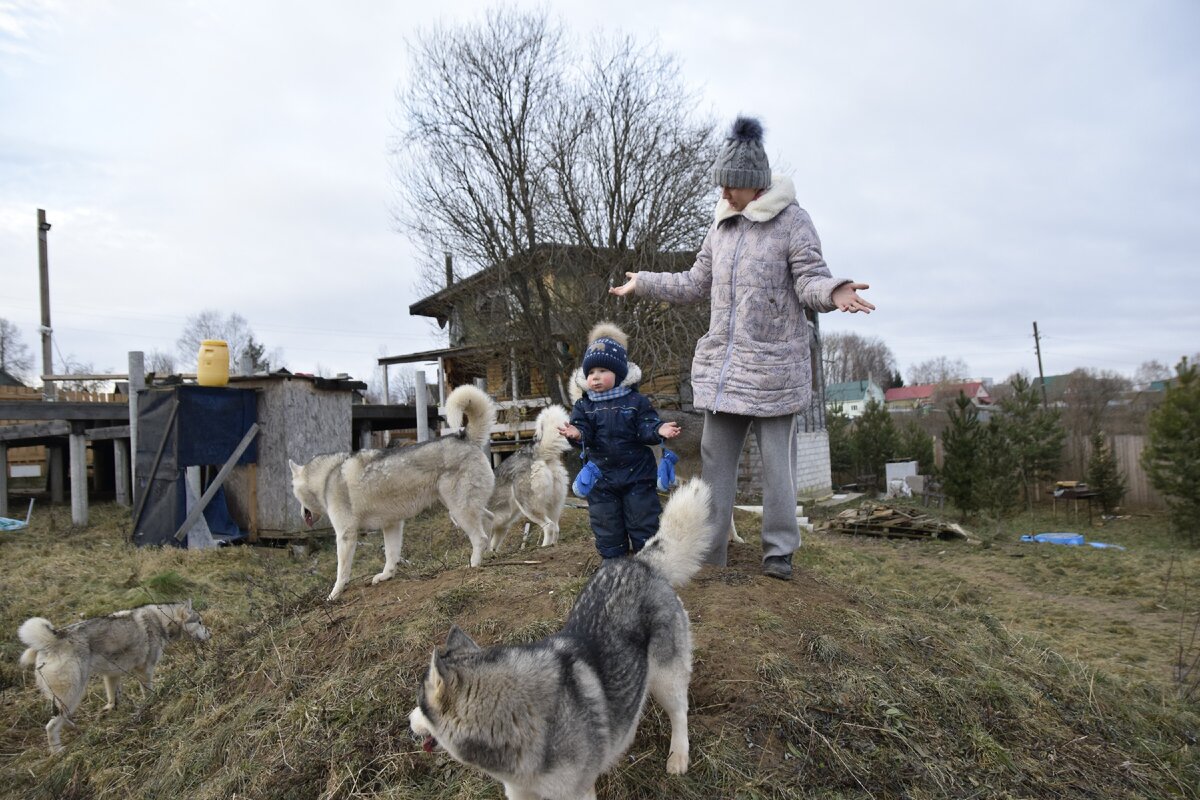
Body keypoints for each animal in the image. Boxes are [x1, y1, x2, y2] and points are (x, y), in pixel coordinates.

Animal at [18, 604, 211, 753]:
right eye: (200, 622)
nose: (210, 633)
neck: (160, 621)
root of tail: (52, 639)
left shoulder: (112, 674)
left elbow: (112, 698)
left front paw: (111, 709)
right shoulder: (145, 670)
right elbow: (149, 693)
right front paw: (152, 704)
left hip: (66, 698)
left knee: (59, 716)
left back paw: (72, 727)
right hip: (74, 693)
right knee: (51, 726)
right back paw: (57, 752)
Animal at [290, 383, 496, 599]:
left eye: (292, 490)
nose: (301, 513)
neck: (327, 475)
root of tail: (466, 438)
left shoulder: (346, 534)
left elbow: (342, 572)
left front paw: (334, 594)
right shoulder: (392, 525)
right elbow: (391, 555)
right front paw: (386, 576)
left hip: (459, 511)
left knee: (479, 538)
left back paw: (473, 564)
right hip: (462, 509)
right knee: (490, 519)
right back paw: (492, 551)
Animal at [410, 479, 710, 796]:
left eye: (420, 705)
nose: (408, 721)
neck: (516, 715)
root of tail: (639, 563)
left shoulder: (577, 792)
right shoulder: (519, 793)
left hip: (666, 679)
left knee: (680, 712)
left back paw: (678, 756)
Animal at [489, 402, 573, 554]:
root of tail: (533, 453)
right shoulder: (501, 526)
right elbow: (493, 545)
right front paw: (492, 554)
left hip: (528, 507)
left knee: (549, 526)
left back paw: (544, 546)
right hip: (553, 505)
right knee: (556, 527)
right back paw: (553, 545)